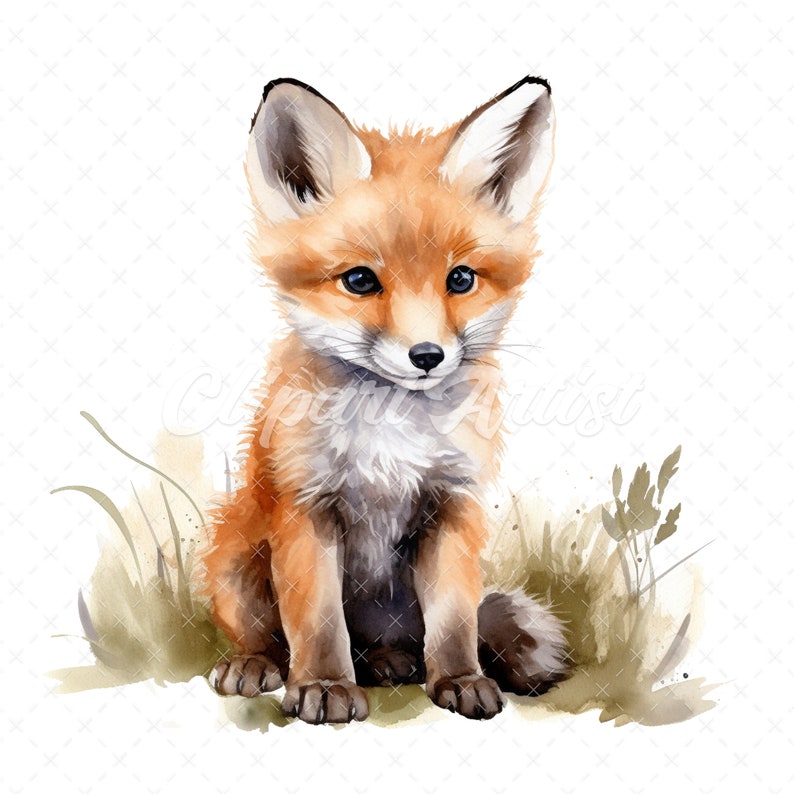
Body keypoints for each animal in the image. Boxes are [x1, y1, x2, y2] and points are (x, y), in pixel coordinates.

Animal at [203, 76, 568, 724]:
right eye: (359, 281)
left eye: (461, 279)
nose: (427, 356)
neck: (391, 433)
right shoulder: (305, 505)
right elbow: (317, 621)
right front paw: (323, 685)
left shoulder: (452, 505)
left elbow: (454, 620)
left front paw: (461, 680)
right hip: (234, 560)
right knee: (270, 638)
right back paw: (257, 665)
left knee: (403, 641)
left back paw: (387, 664)